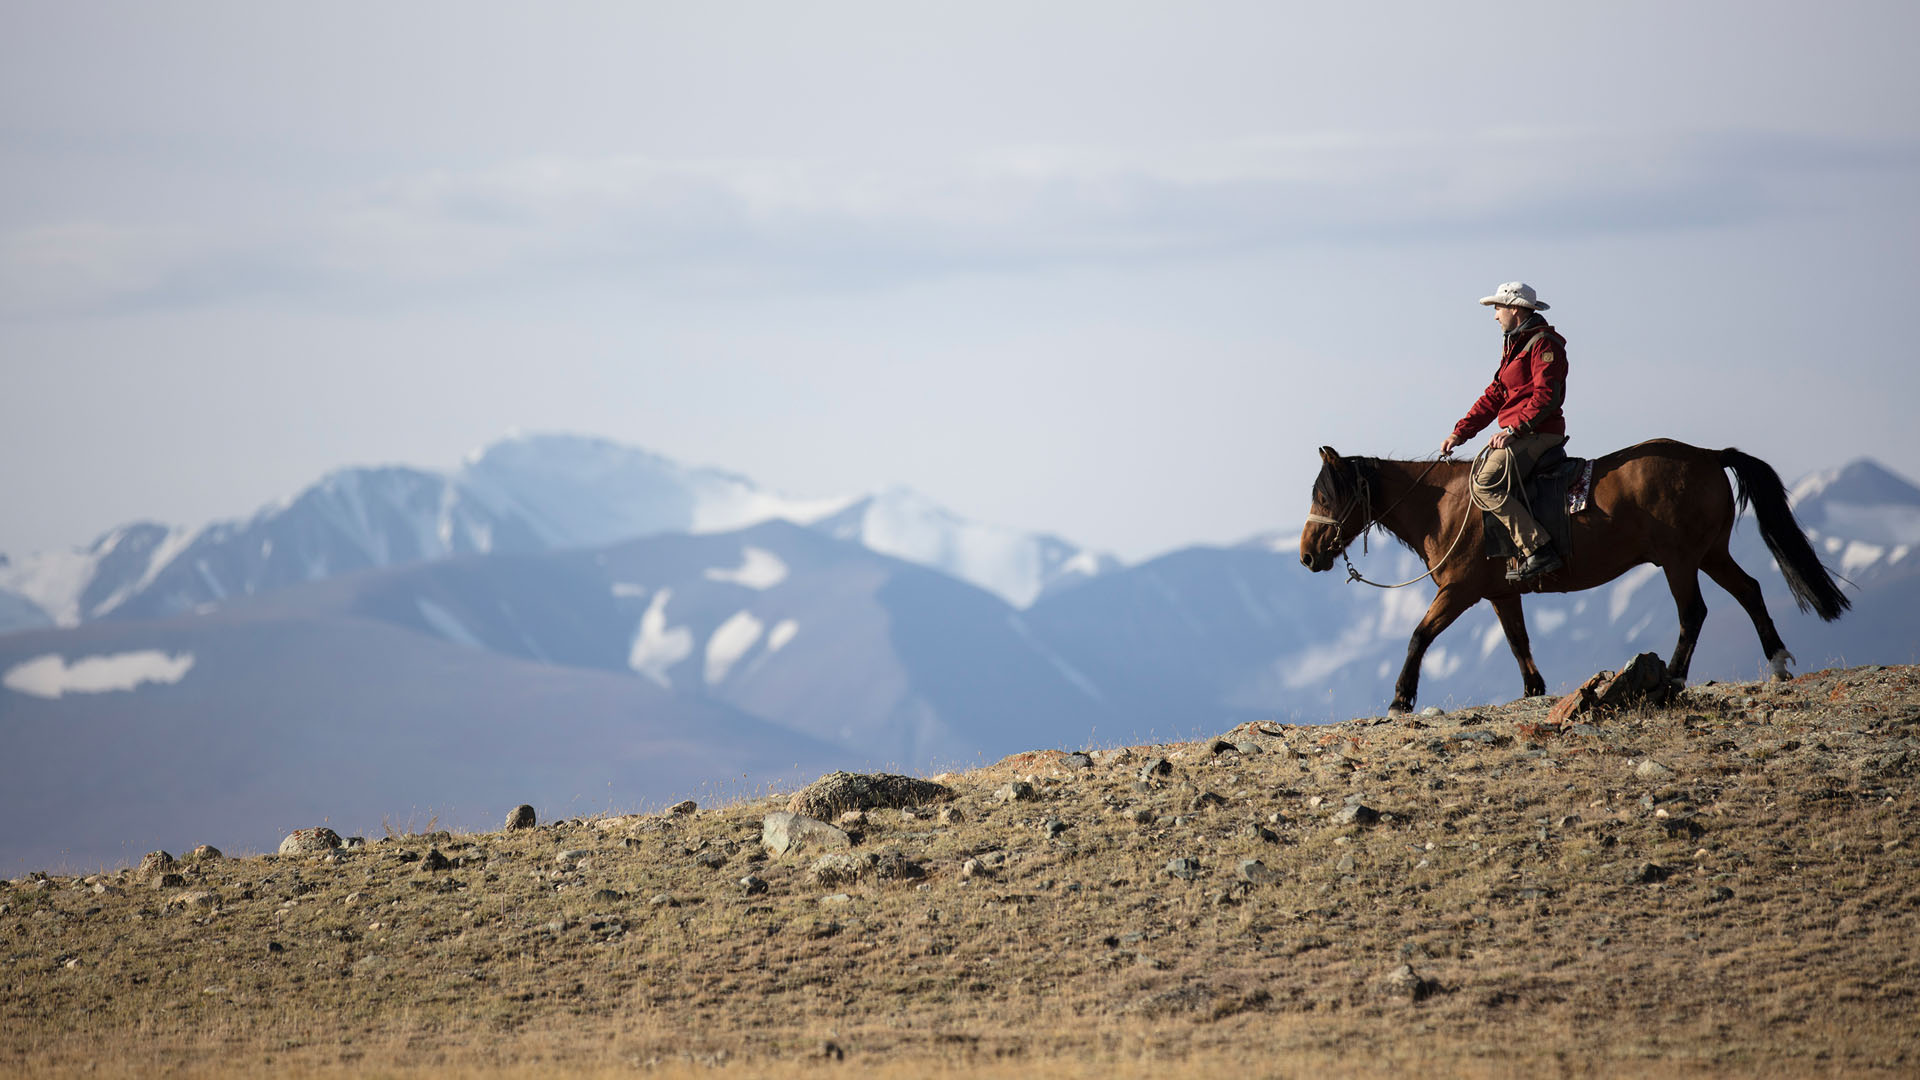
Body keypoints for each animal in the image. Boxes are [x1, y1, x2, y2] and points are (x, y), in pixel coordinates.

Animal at [1299, 439, 1849, 715]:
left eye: (1325, 496)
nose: (1307, 555)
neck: (1447, 507)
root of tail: (1710, 456)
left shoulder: (1459, 591)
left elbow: (1418, 636)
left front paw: (1400, 698)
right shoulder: (1501, 594)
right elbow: (1518, 642)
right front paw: (1534, 690)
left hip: (1680, 561)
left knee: (1694, 612)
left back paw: (1673, 676)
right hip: (1710, 554)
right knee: (1749, 591)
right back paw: (1776, 662)